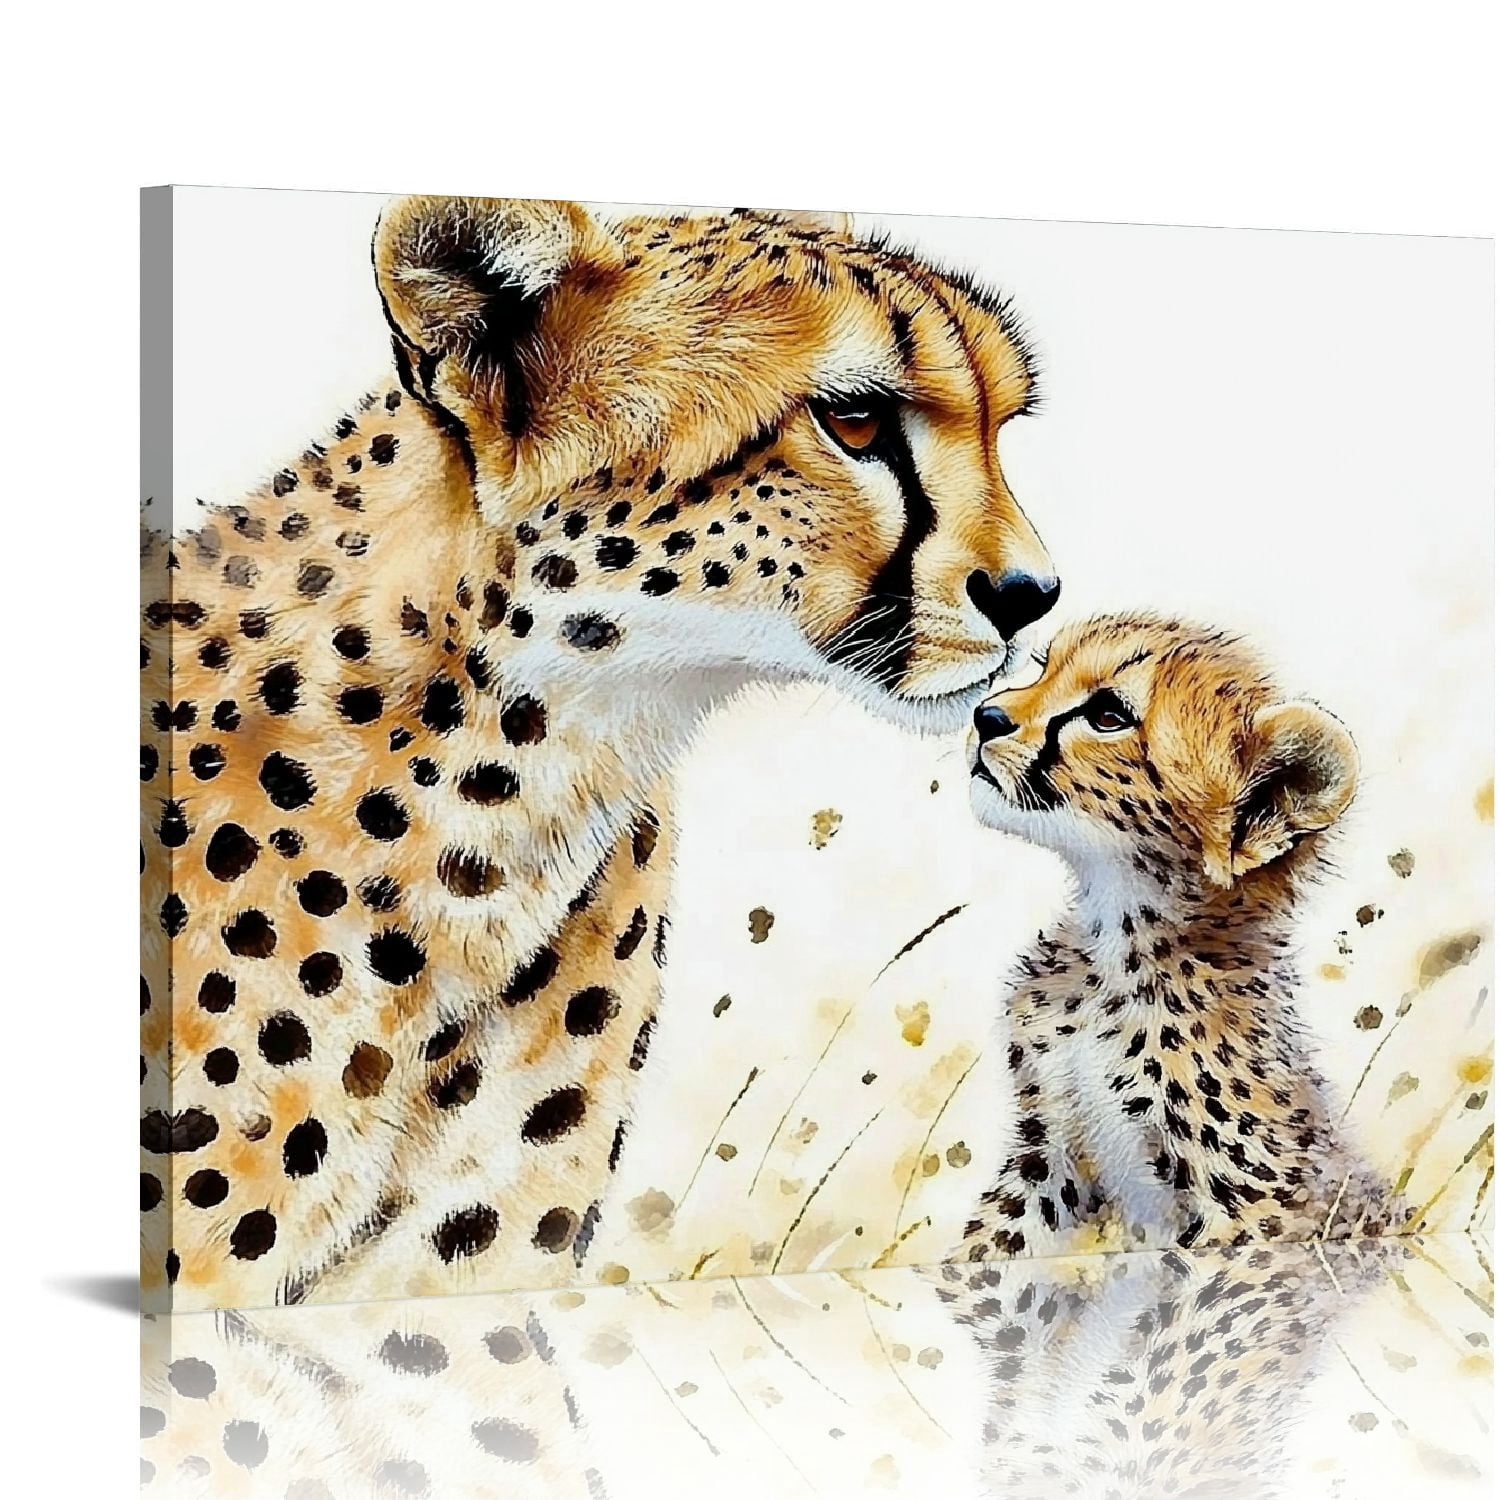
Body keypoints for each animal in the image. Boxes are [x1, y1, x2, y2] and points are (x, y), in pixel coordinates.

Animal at [957, 612, 1397, 1265]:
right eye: (1042, 667)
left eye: (1108, 714)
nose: (986, 715)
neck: (1116, 944)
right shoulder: (1048, 1153)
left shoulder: (1263, 1206)